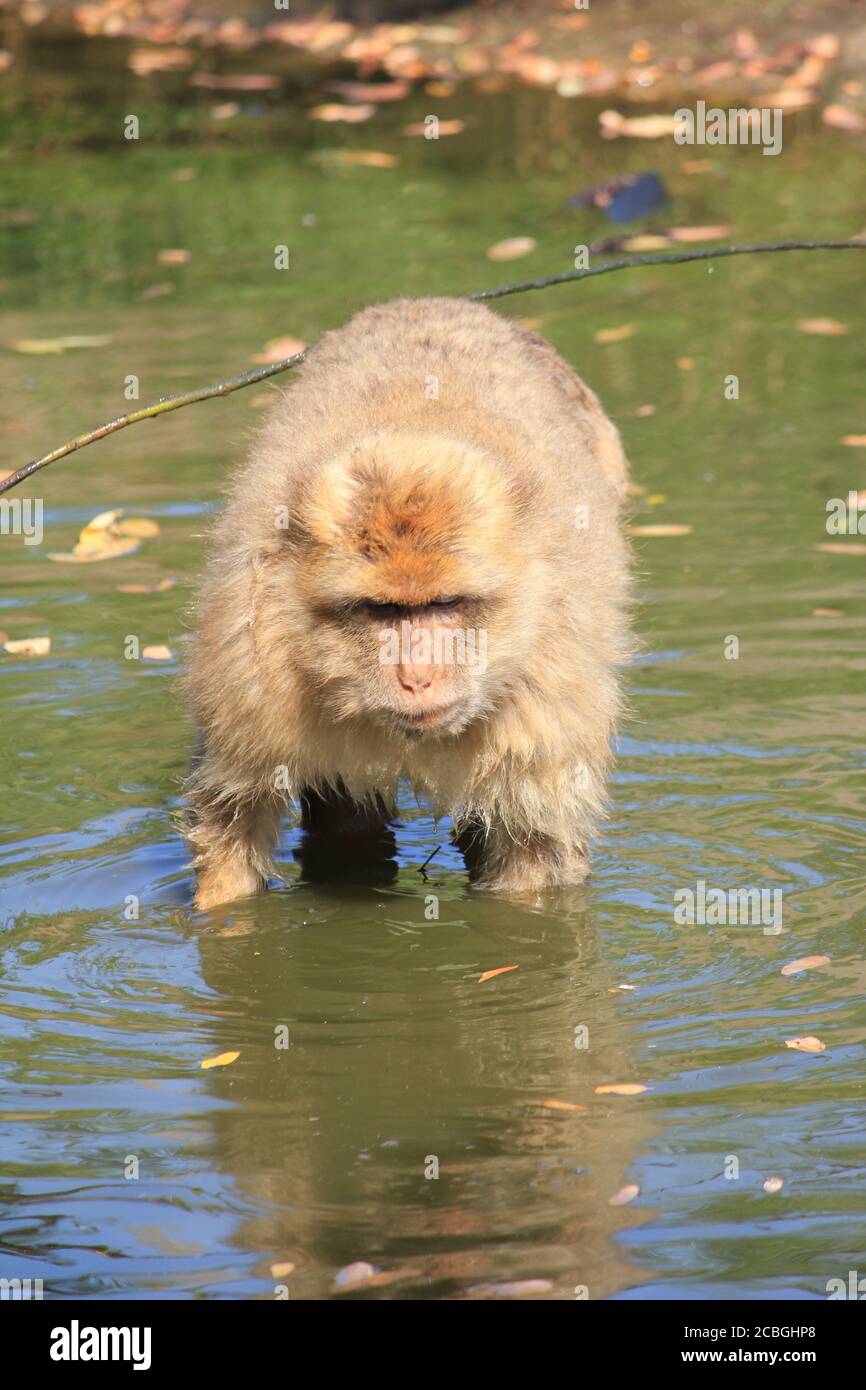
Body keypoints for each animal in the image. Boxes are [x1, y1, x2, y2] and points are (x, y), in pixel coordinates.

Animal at [184, 296, 633, 910]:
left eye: (444, 603)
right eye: (382, 611)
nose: (417, 676)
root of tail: (431, 301)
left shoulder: (550, 686)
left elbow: (533, 857)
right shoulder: (253, 668)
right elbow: (233, 826)